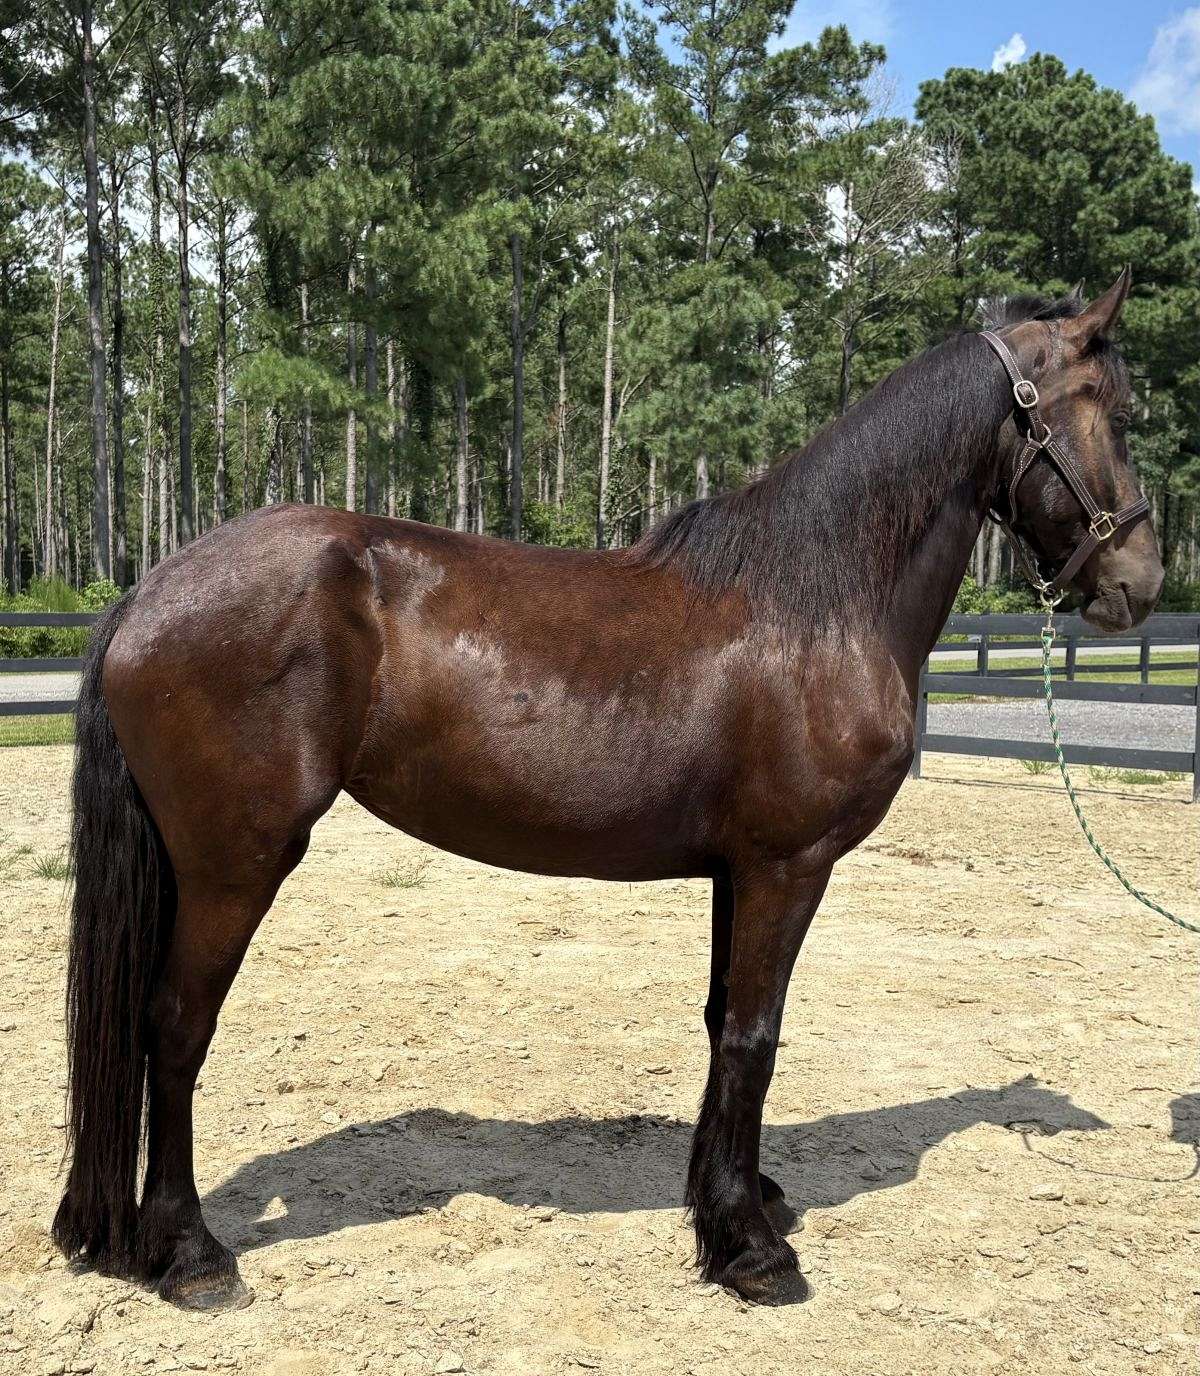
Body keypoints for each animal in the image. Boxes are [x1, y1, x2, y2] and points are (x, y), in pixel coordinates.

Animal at [52, 271, 1163, 1311]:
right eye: (1110, 406)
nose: (1141, 582)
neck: (815, 601)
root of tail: (150, 592)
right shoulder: (787, 866)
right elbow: (756, 1035)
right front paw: (750, 1251)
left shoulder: (736, 872)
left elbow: (721, 1023)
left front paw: (734, 1199)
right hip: (235, 863)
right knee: (175, 1025)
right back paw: (190, 1254)